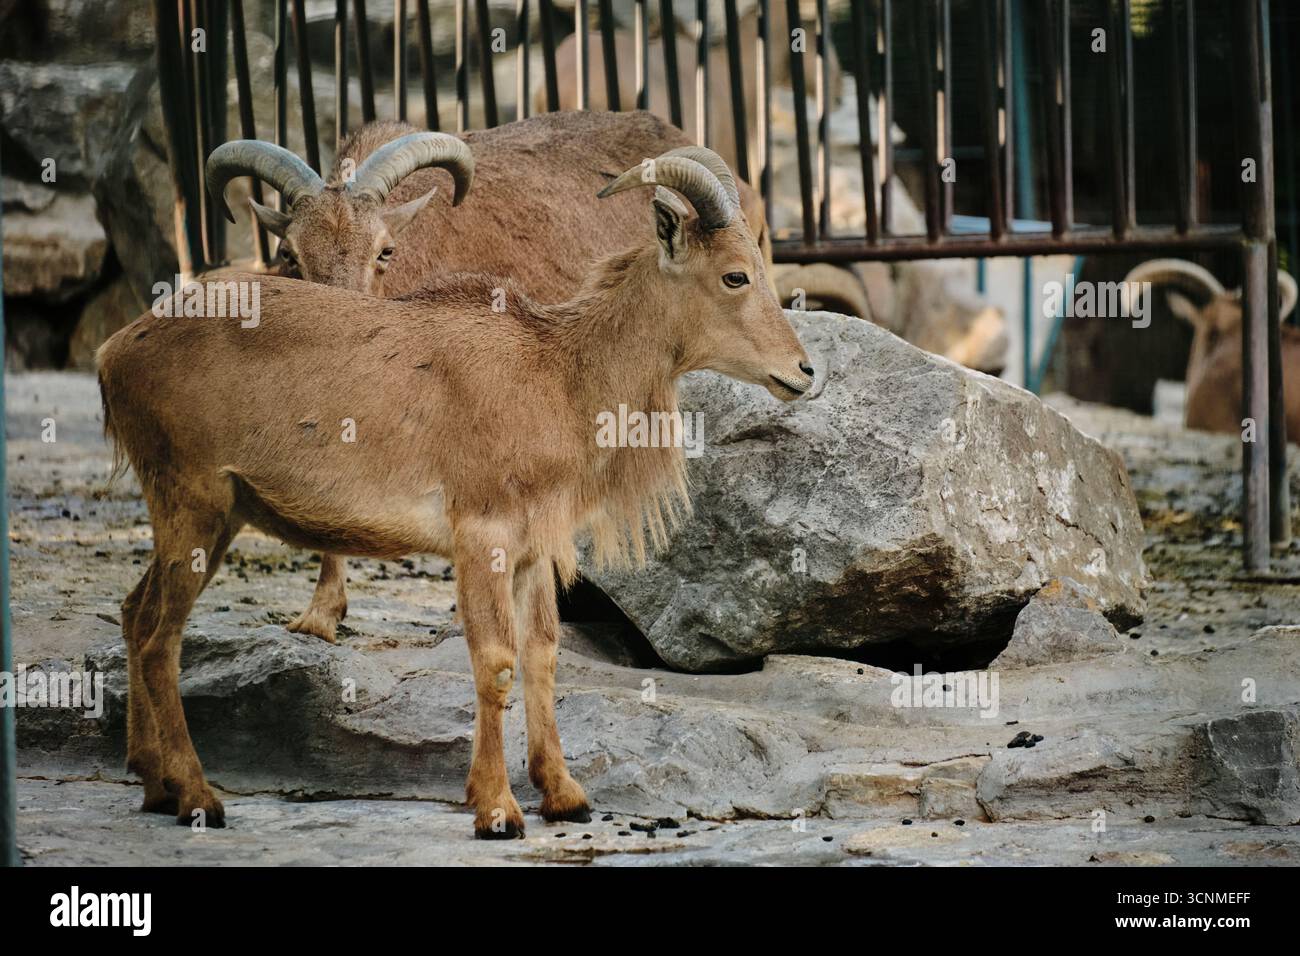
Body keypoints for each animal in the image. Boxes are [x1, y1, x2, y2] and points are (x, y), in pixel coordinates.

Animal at [96, 147, 814, 838]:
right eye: (735, 276)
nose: (805, 371)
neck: (558, 371)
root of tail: (114, 349)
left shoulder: (533, 550)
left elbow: (543, 653)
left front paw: (565, 795)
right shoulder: (482, 536)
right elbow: (495, 661)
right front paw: (497, 809)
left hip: (216, 514)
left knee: (133, 612)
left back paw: (154, 783)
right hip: (191, 502)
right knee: (160, 636)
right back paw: (197, 796)